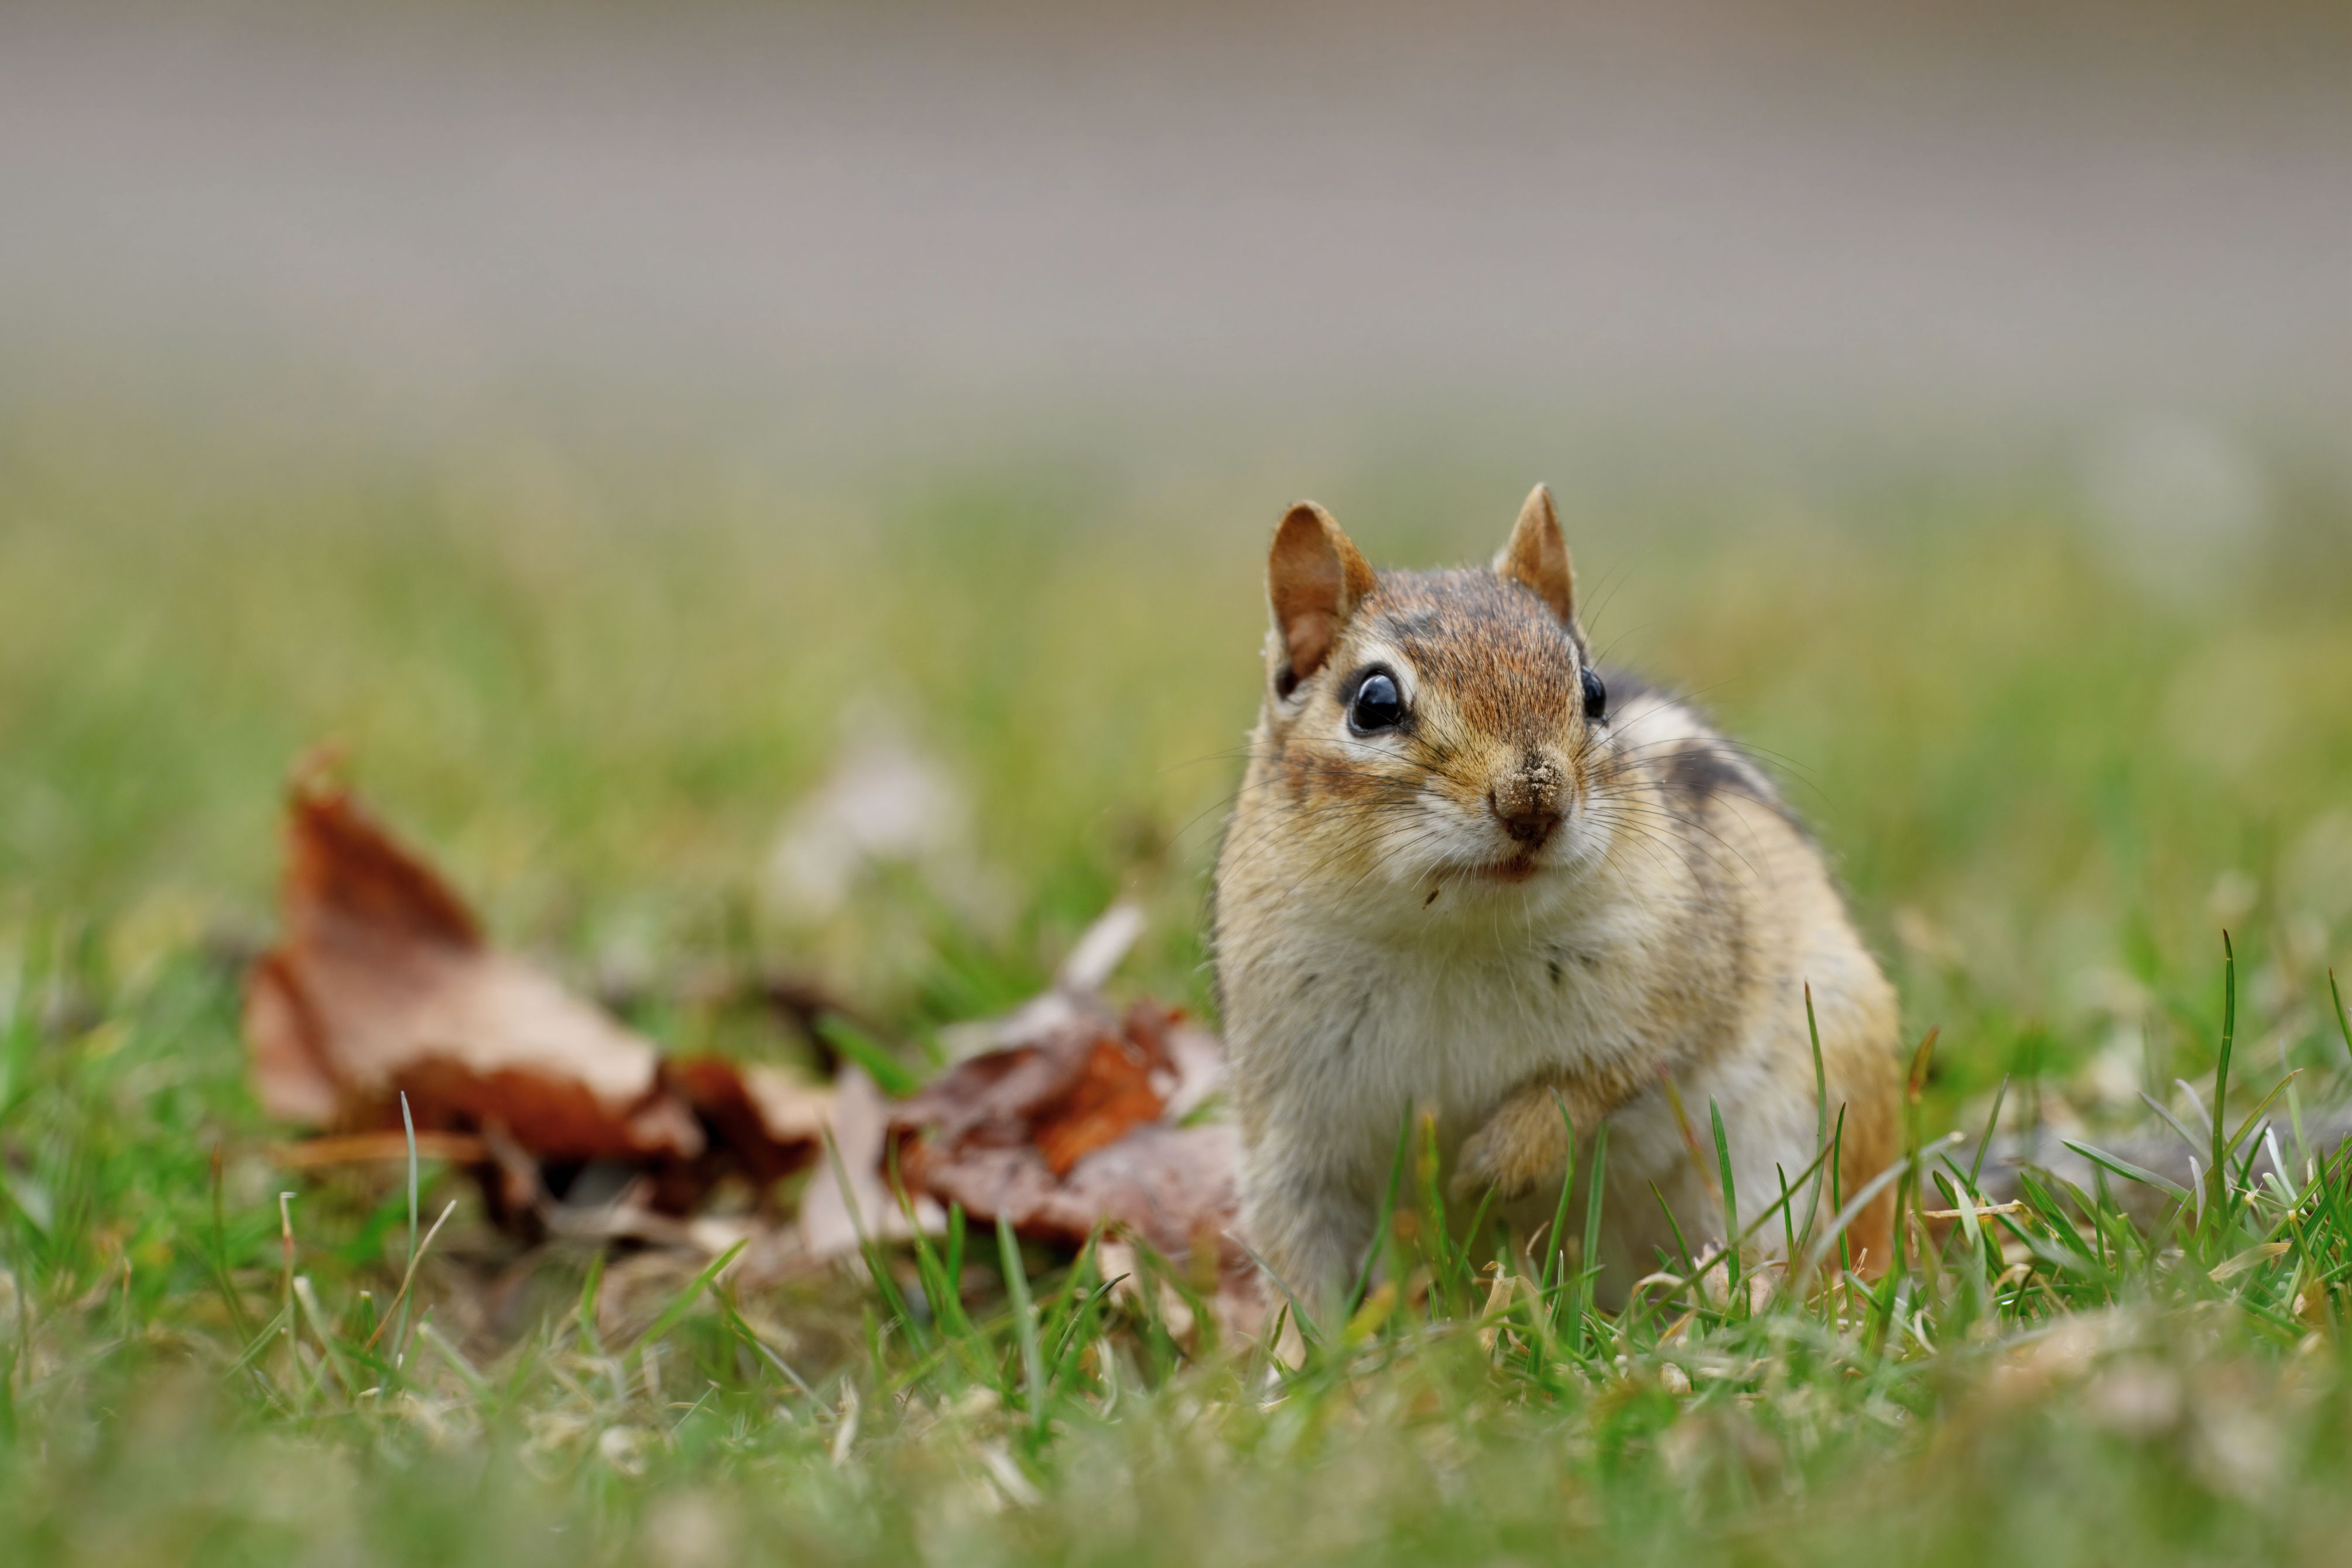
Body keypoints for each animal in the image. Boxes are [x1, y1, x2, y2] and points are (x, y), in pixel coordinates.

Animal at [1212, 486, 1898, 1315]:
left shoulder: (1682, 974)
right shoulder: (1292, 1137)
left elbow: (1603, 1077)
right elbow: (1298, 1265)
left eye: (1592, 691)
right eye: (1373, 702)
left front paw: (1494, 1163)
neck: (1451, 936)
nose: (1533, 800)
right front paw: (1296, 1350)